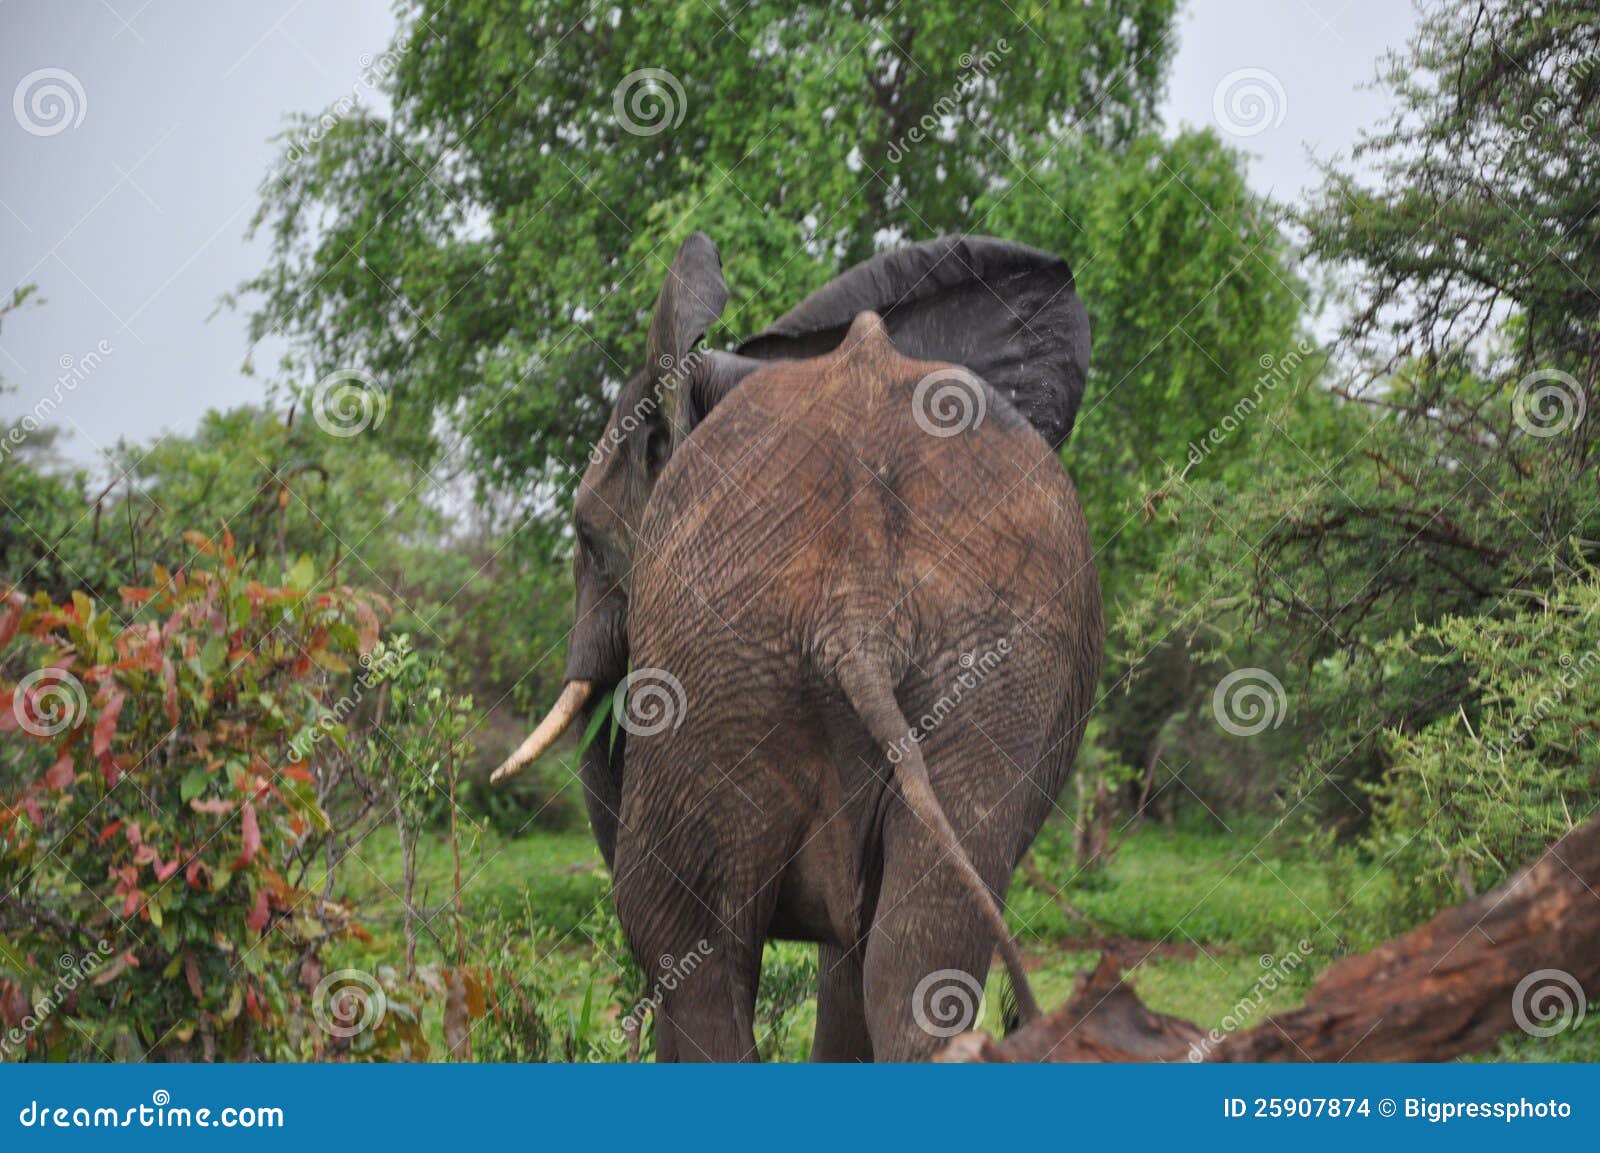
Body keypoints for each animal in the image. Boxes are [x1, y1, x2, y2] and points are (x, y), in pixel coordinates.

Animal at [494, 233, 1101, 1060]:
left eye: (586, 533)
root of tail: (860, 601)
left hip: (720, 664)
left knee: (677, 931)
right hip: (995, 668)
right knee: (916, 958)